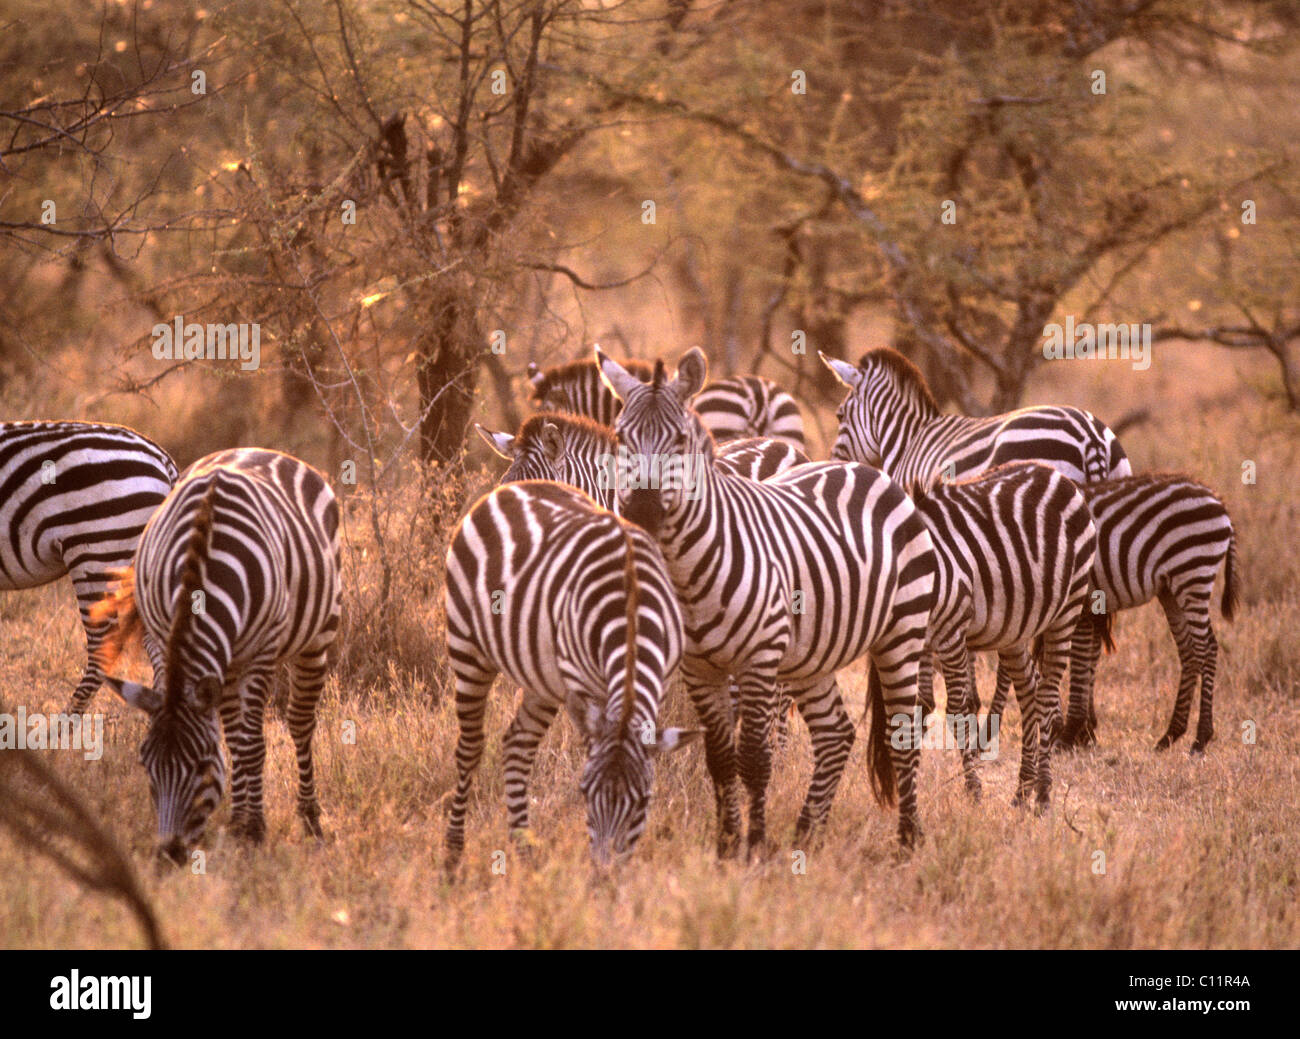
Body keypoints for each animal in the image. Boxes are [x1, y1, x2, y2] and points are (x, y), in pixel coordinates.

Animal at [91, 448, 341, 864]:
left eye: (203, 768)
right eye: (146, 765)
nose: (169, 855)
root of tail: (259, 449)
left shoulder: (262, 652)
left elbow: (253, 745)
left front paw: (255, 830)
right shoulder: (164, 639)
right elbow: (235, 742)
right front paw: (242, 824)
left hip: (317, 636)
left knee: (301, 723)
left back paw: (310, 822)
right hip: (230, 661)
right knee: (237, 729)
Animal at [443, 480, 692, 869]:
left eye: (643, 802)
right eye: (584, 793)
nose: (604, 876)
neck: (632, 613)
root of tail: (510, 487)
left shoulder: (659, 684)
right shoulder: (583, 687)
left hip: (543, 677)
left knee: (517, 743)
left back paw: (525, 850)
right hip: (467, 646)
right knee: (469, 748)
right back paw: (453, 854)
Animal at [597, 347, 936, 854]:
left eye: (679, 439)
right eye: (620, 437)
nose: (640, 512)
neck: (689, 572)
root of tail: (870, 470)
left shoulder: (758, 660)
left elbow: (755, 759)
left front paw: (753, 848)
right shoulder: (699, 669)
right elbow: (720, 759)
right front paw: (725, 846)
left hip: (903, 632)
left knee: (903, 734)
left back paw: (909, 841)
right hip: (812, 654)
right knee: (835, 733)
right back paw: (806, 834)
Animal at [909, 463, 1098, 805]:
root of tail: (1057, 475)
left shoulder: (951, 632)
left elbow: (956, 712)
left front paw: (973, 790)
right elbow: (916, 707)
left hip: (1067, 608)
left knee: (1047, 696)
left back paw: (1043, 794)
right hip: (1016, 629)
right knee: (1030, 692)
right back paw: (1024, 788)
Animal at [986, 473, 1239, 754]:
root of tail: (1217, 499)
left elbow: (1064, 661)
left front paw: (1065, 731)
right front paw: (1074, 730)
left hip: (1193, 573)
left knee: (1207, 648)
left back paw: (1201, 737)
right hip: (1171, 591)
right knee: (1190, 651)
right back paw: (1171, 734)